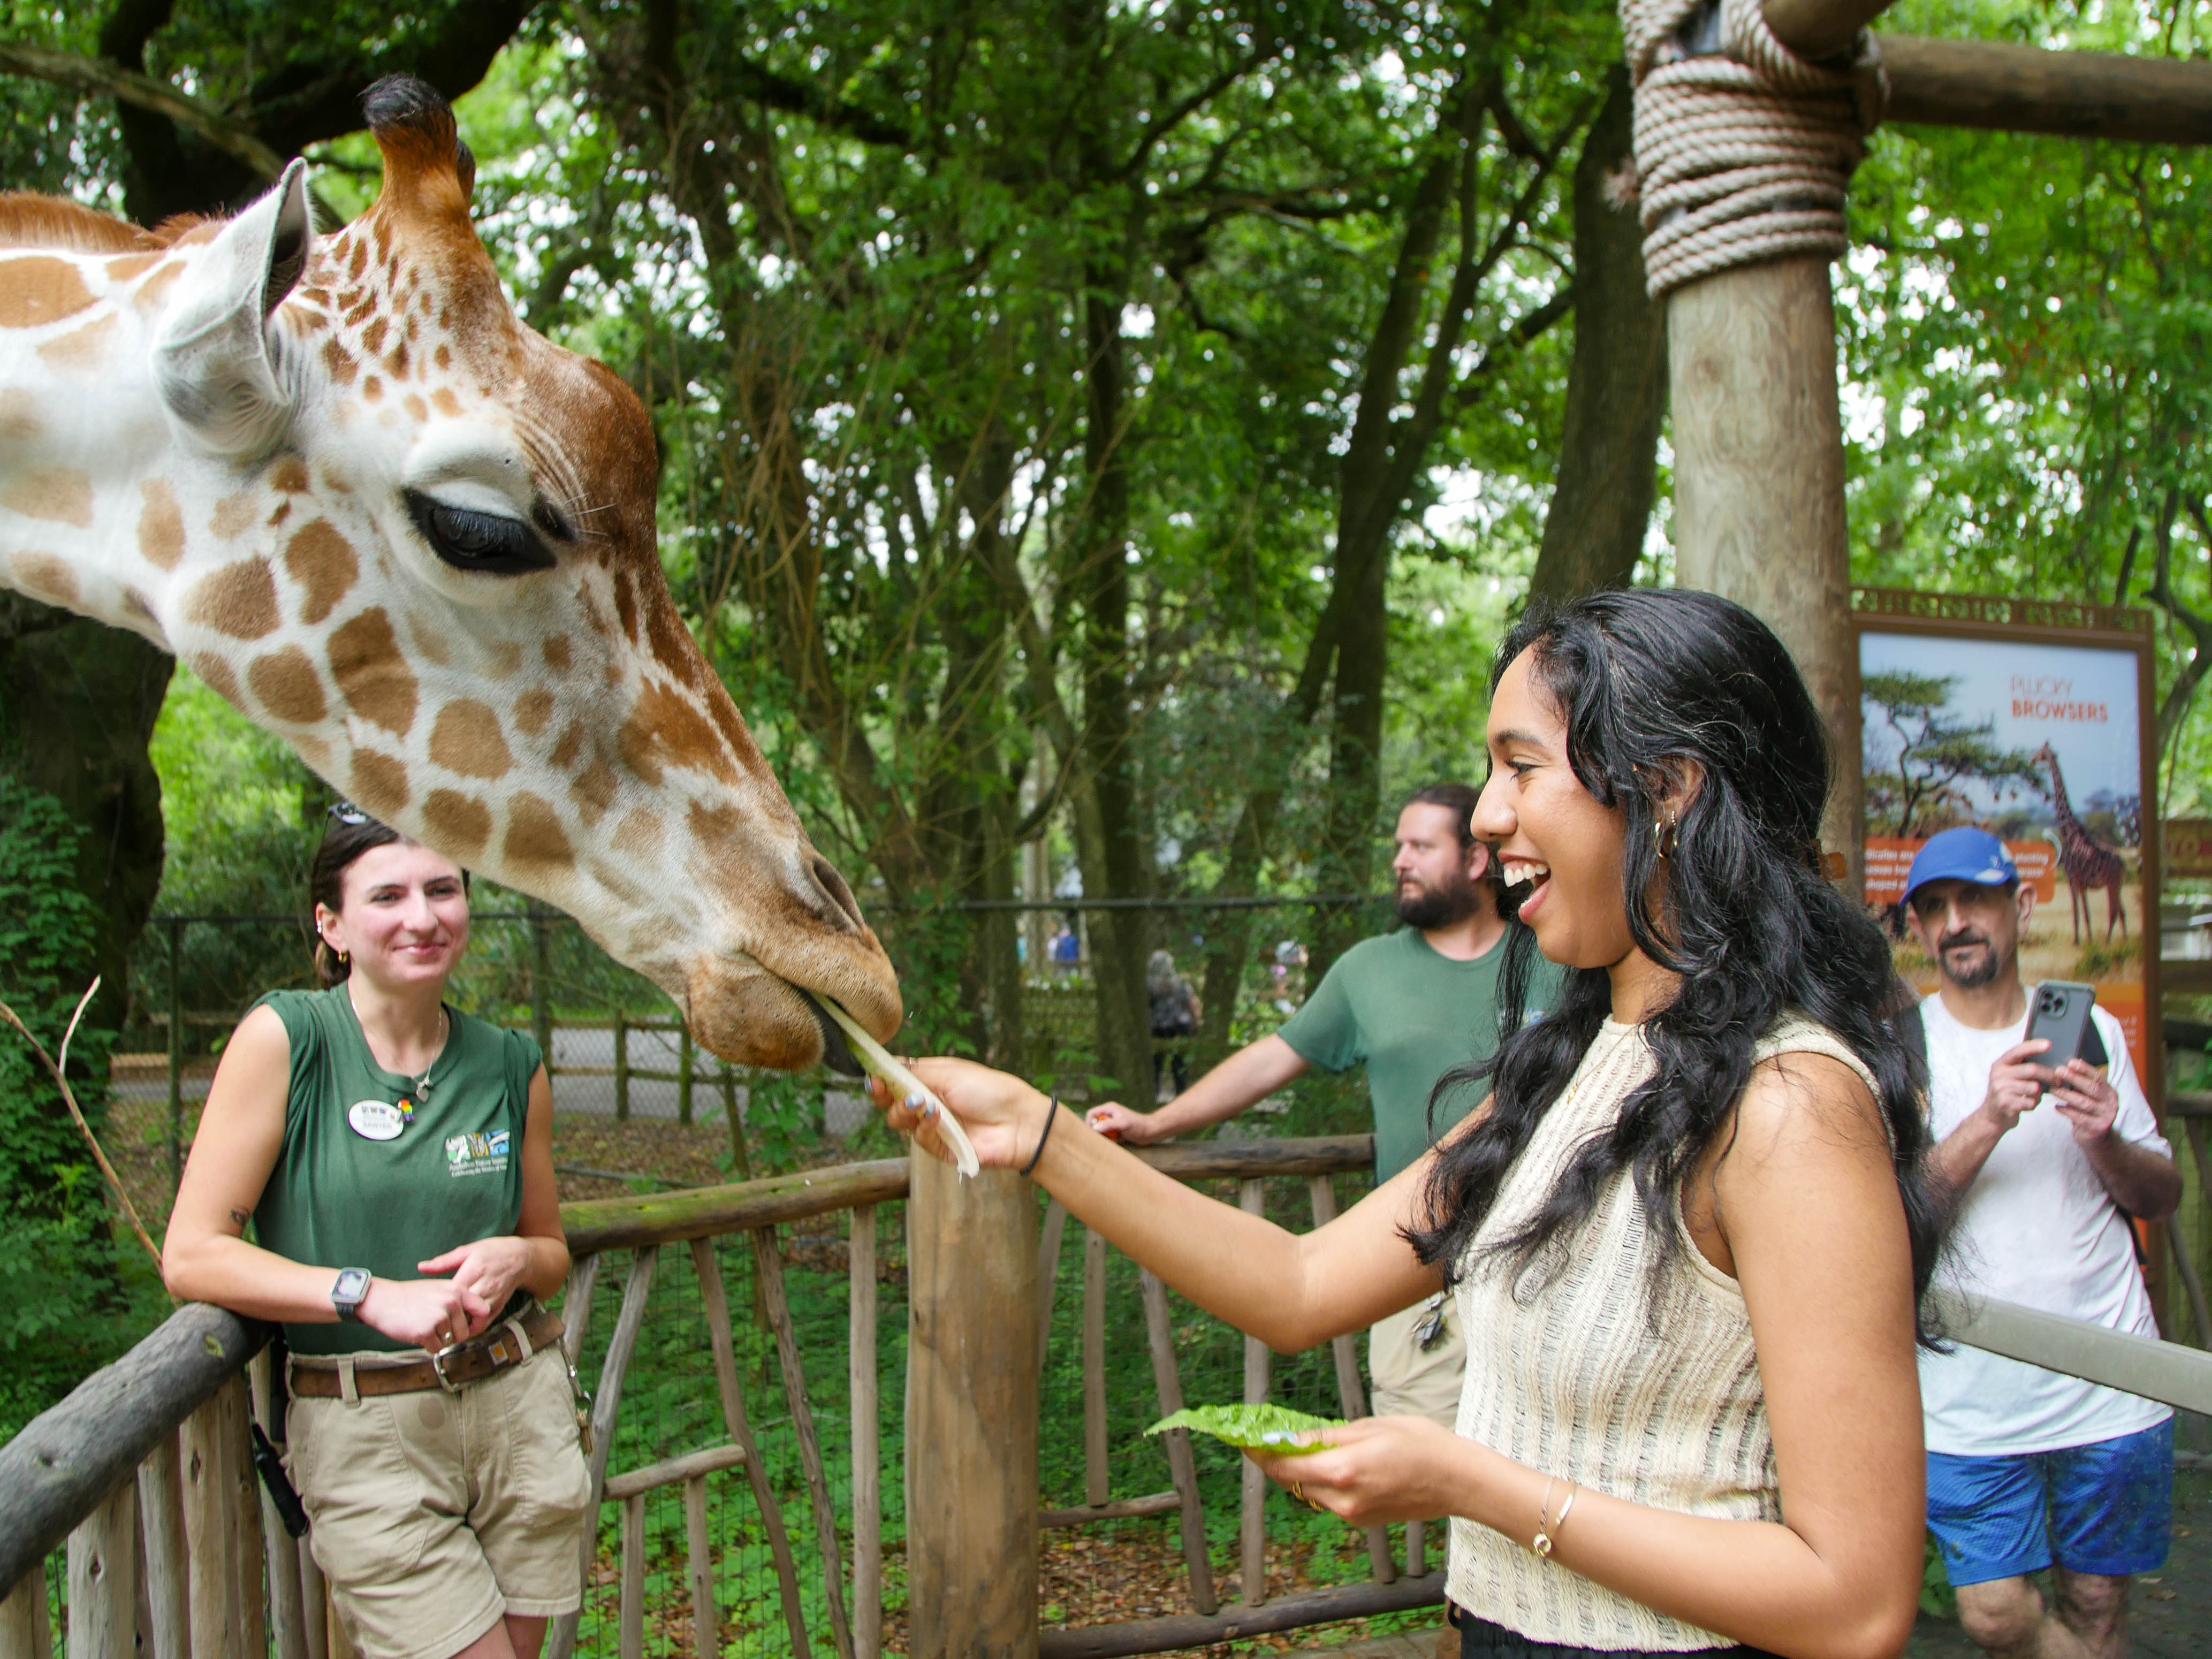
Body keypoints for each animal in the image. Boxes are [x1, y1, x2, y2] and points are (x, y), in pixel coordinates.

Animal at [2029, 744, 2127, 946]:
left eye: (2040, 752)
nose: (2032, 760)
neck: (2070, 834)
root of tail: (2123, 864)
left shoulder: (2073, 879)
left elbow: (2079, 913)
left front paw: (2080, 941)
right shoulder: (2081, 884)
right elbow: (2084, 913)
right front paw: (2086, 939)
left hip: (2112, 884)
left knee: (2114, 912)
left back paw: (2107, 942)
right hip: (2118, 885)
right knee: (2122, 912)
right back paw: (2125, 941)